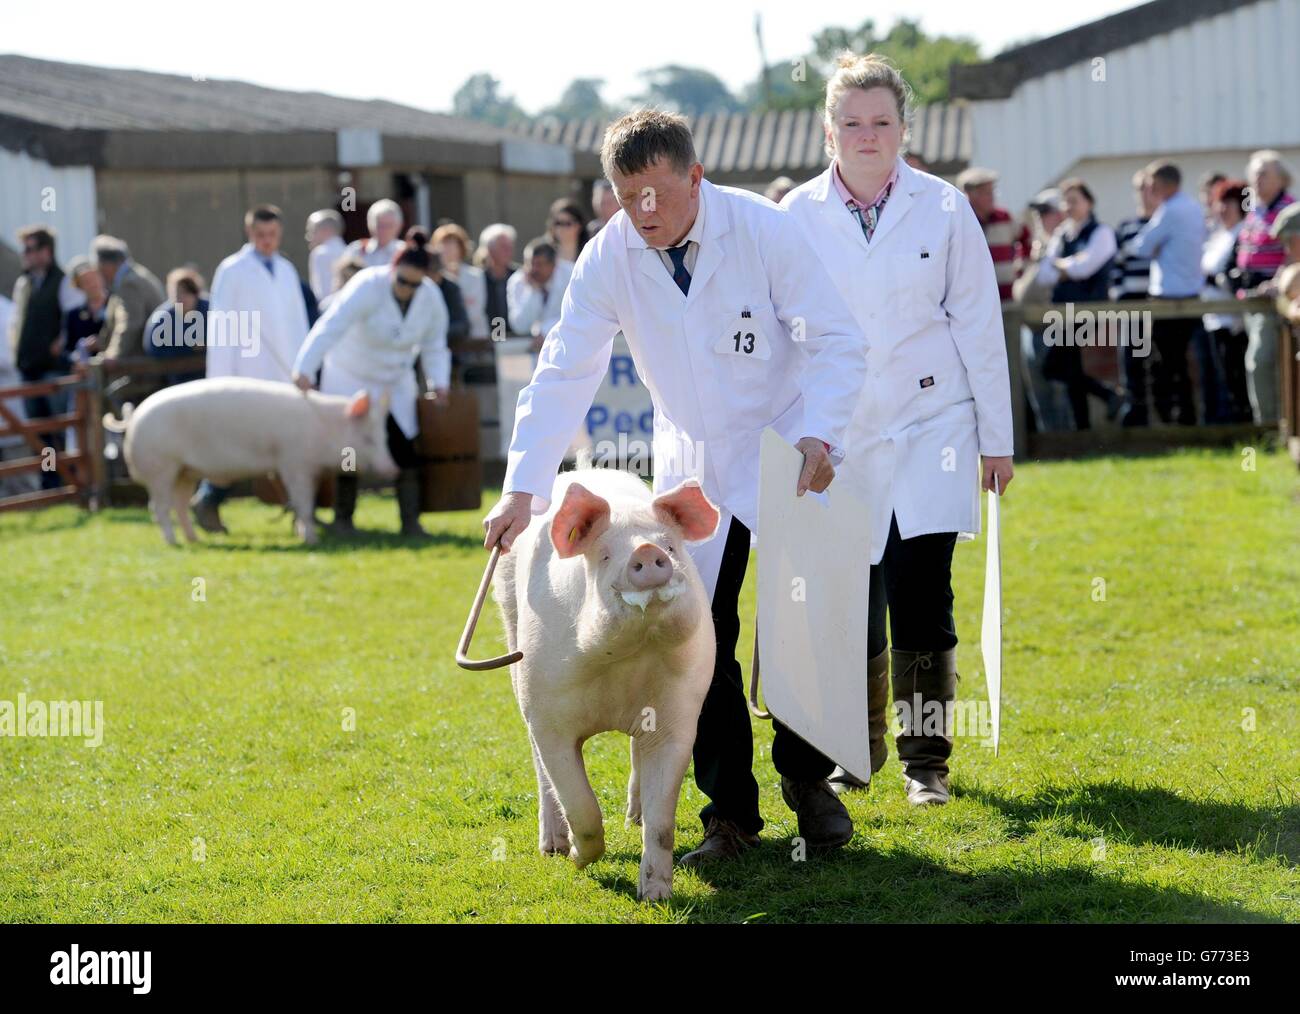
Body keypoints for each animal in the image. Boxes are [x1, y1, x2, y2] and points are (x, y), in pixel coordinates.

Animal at [103, 376, 398, 546]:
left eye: (385, 436)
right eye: (368, 438)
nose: (393, 469)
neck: (324, 426)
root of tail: (134, 415)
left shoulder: (309, 468)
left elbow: (306, 503)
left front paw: (306, 534)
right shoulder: (294, 463)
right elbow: (303, 503)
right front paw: (312, 541)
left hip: (185, 472)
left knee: (180, 504)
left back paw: (194, 539)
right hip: (161, 468)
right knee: (159, 507)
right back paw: (174, 543)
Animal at [493, 465, 721, 901]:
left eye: (671, 545)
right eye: (605, 554)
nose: (647, 551)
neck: (628, 663)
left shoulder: (677, 718)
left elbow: (663, 822)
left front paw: (657, 897)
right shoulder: (550, 720)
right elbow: (580, 804)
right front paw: (578, 859)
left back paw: (633, 818)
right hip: (513, 638)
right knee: (540, 769)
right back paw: (552, 846)